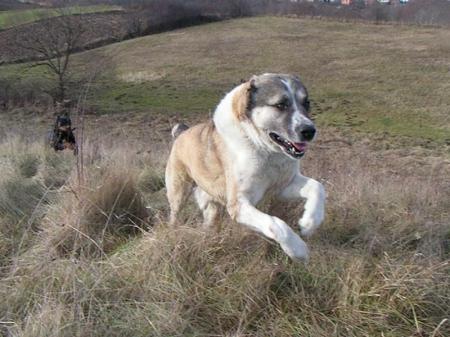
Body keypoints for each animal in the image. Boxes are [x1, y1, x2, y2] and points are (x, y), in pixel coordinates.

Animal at [164, 73, 324, 260]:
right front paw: (298, 250)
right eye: (280, 105)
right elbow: (275, 223)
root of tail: (181, 133)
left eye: (306, 102)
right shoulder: (238, 205)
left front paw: (309, 223)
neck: (266, 151)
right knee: (174, 216)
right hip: (178, 194)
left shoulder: (282, 187)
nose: (309, 131)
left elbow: (317, 187)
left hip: (211, 209)